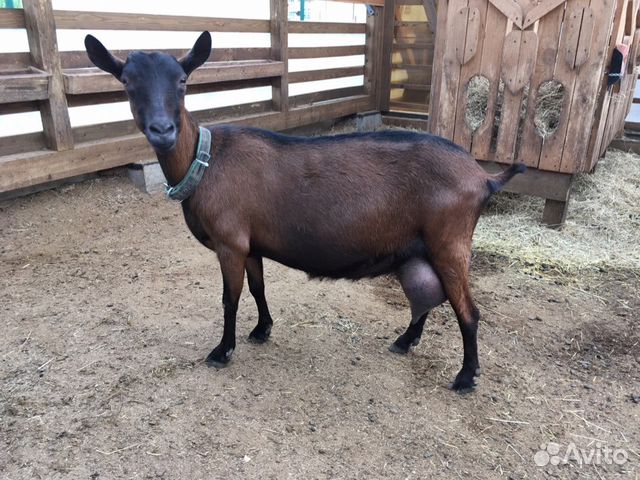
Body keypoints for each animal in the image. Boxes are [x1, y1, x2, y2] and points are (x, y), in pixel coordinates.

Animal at [85, 31, 525, 393]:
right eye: (127, 83)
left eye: (182, 81)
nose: (162, 130)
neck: (205, 160)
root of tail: (483, 177)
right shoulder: (250, 243)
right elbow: (258, 288)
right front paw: (262, 330)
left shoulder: (229, 242)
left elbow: (230, 298)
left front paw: (222, 351)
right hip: (418, 249)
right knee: (427, 295)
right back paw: (404, 342)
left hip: (450, 243)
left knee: (468, 310)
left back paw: (466, 377)